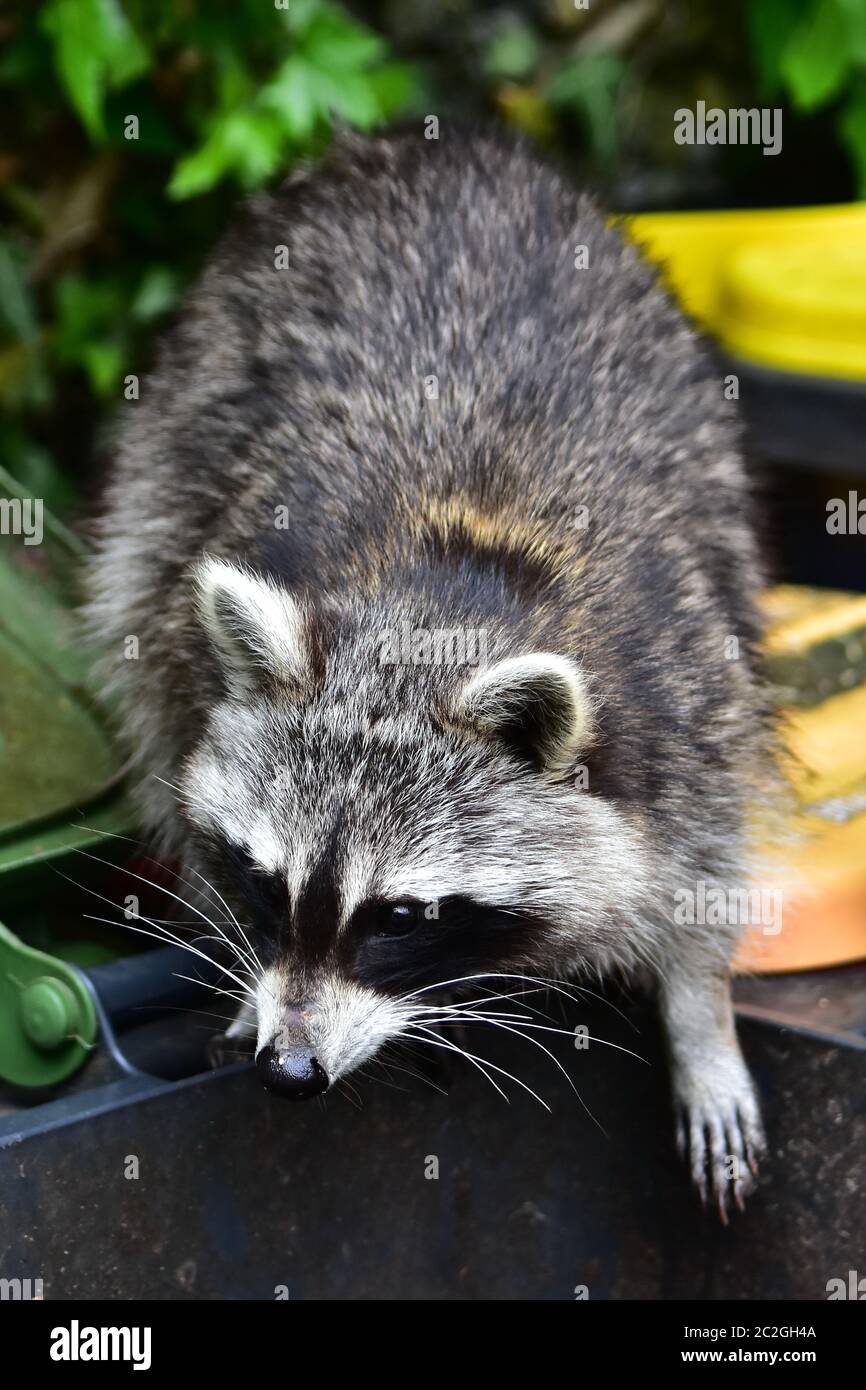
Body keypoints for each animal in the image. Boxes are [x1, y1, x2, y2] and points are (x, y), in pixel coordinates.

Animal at [86, 128, 774, 1216]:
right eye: (269, 885)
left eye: (402, 918)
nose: (291, 1071)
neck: (433, 610)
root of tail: (434, 144)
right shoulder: (194, 625)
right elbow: (179, 746)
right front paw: (238, 955)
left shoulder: (685, 688)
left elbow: (704, 857)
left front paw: (700, 1014)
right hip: (178, 434)